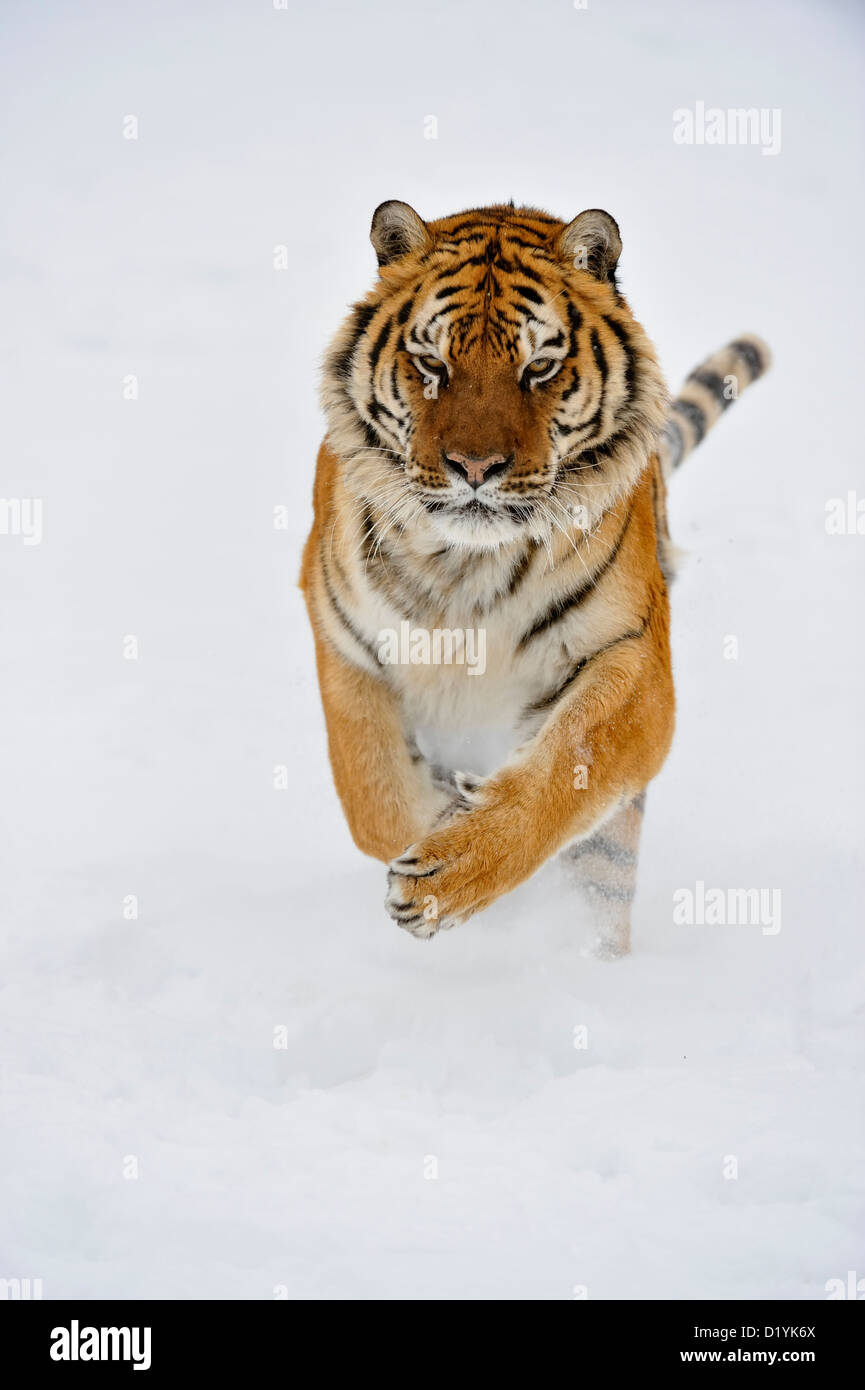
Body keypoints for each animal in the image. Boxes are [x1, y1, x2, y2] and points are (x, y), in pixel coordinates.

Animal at [300, 199, 770, 955]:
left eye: (539, 367)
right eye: (431, 363)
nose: (474, 467)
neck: (464, 564)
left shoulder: (630, 657)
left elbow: (566, 770)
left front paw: (447, 872)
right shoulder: (344, 640)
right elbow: (372, 795)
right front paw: (432, 828)